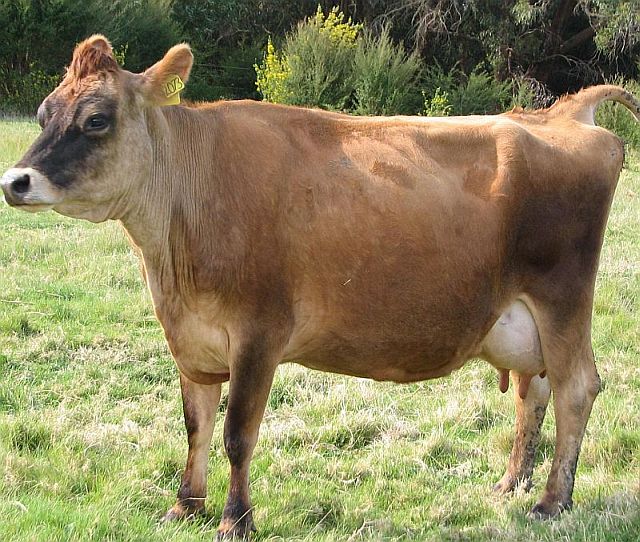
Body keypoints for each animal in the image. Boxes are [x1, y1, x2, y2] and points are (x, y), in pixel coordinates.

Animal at [2, 35, 639, 539]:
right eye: (43, 113)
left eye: (96, 119)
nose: (15, 180)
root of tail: (564, 113)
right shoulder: (190, 340)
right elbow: (195, 425)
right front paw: (184, 507)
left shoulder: (258, 333)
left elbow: (237, 432)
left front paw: (234, 520)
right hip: (522, 319)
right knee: (535, 390)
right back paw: (511, 483)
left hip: (563, 298)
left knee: (576, 388)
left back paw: (552, 501)